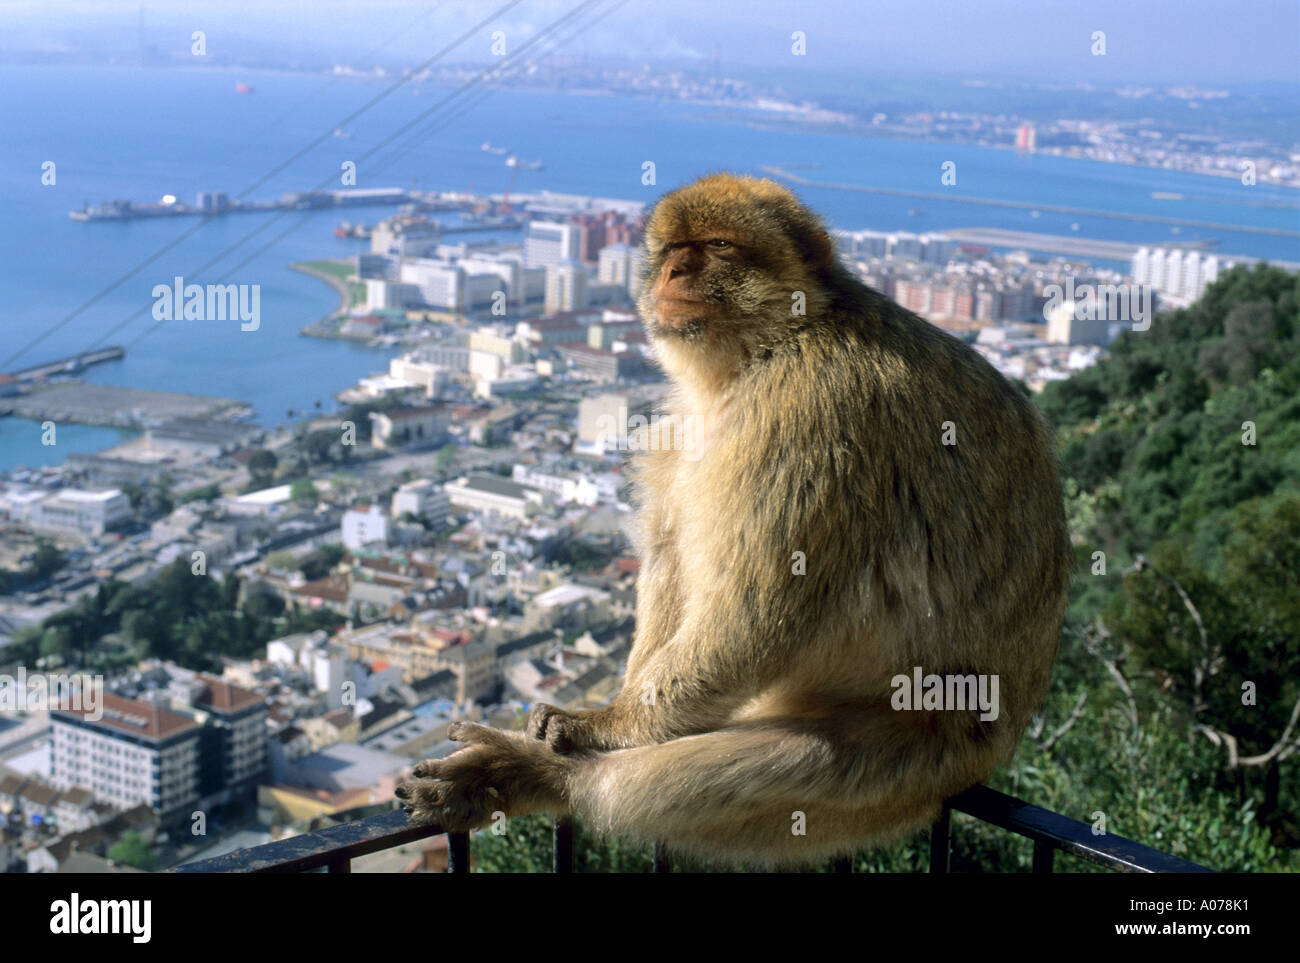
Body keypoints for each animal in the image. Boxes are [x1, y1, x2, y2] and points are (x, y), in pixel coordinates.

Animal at [396, 173, 1072, 867]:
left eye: (718, 246)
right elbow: (672, 559)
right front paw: (614, 706)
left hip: (929, 753)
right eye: (673, 247)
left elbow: (762, 610)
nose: (674, 271)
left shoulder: (811, 413)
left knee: (790, 755)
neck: (769, 349)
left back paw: (543, 777)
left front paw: (606, 724)